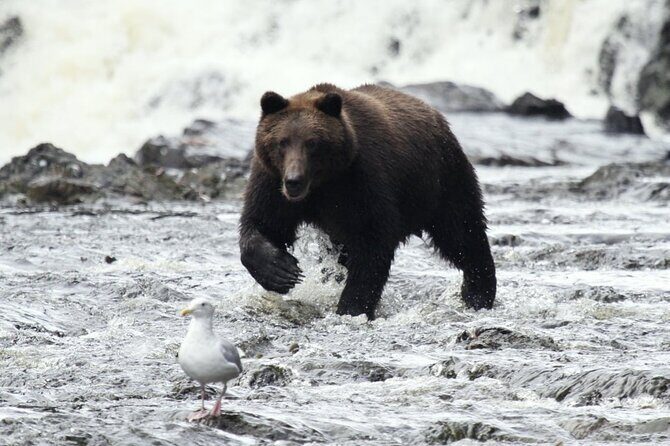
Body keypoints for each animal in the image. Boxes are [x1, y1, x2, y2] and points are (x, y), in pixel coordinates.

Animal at [239, 83, 496, 319]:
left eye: (312, 143)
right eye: (282, 142)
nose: (294, 181)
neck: (323, 184)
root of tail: (436, 115)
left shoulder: (363, 180)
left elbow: (372, 243)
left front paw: (351, 307)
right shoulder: (272, 181)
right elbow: (263, 223)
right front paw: (280, 271)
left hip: (440, 180)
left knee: (461, 233)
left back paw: (478, 292)